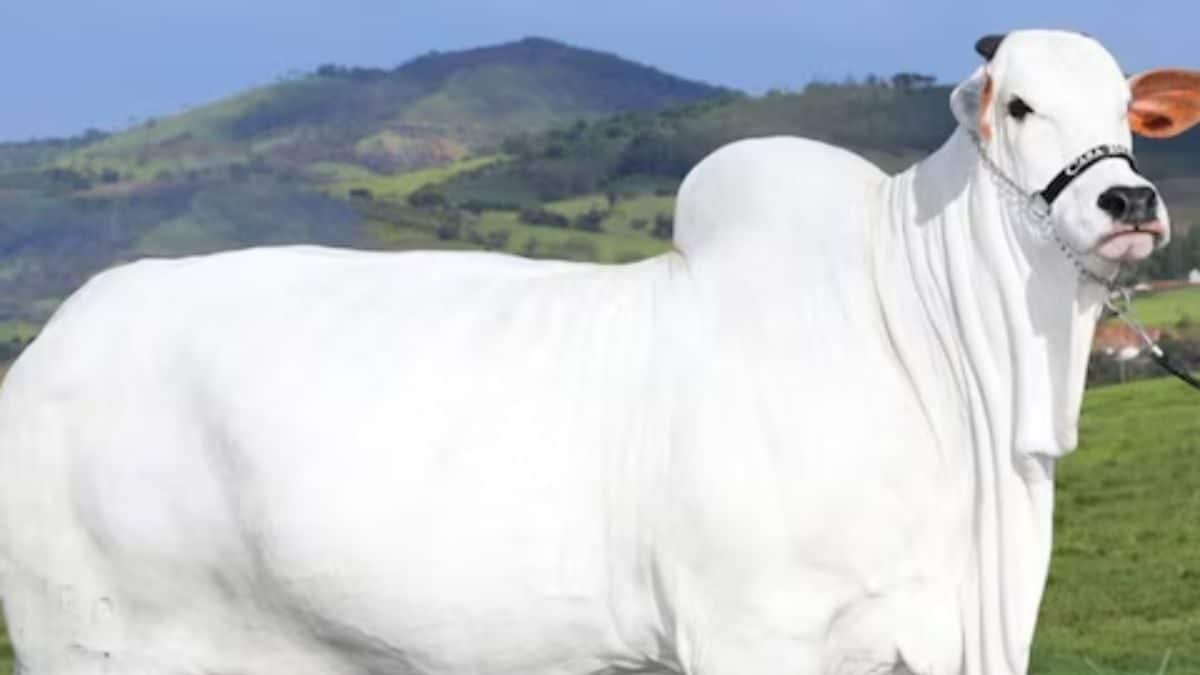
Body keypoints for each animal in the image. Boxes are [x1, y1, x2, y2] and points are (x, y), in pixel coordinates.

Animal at [1, 29, 1199, 675]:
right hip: (84, 642)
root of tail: (54, 341)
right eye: (1020, 105)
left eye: (1126, 111)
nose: (1131, 202)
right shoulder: (753, 634)